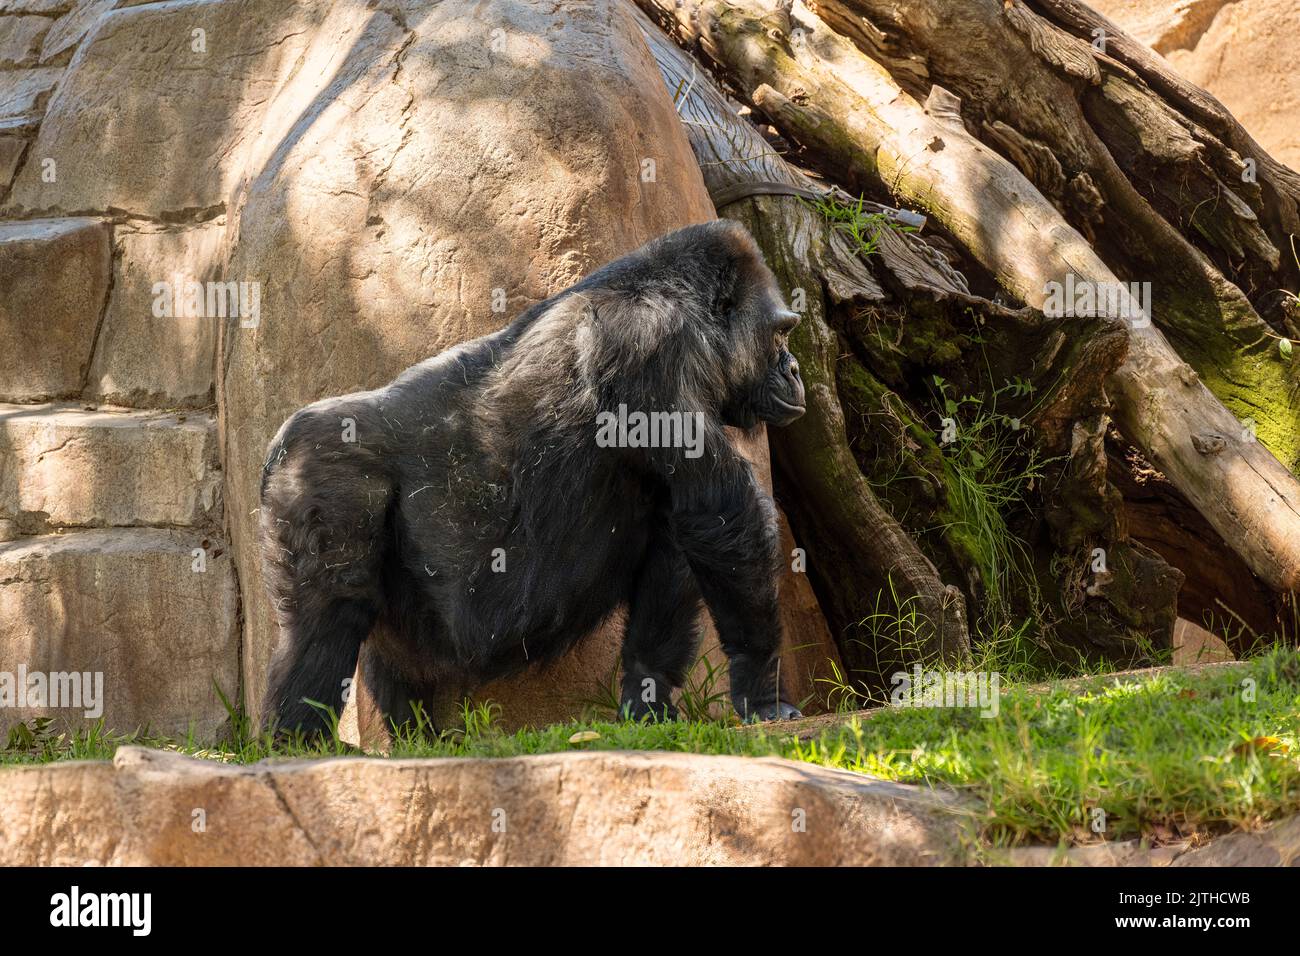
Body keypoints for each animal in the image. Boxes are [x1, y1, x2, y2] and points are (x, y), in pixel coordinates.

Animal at [259, 219, 807, 736]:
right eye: (780, 333)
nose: (796, 370)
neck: (672, 293)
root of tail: (278, 446)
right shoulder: (651, 346)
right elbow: (720, 509)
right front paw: (762, 685)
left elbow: (686, 532)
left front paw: (647, 694)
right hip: (316, 478)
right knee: (326, 617)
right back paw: (297, 739)